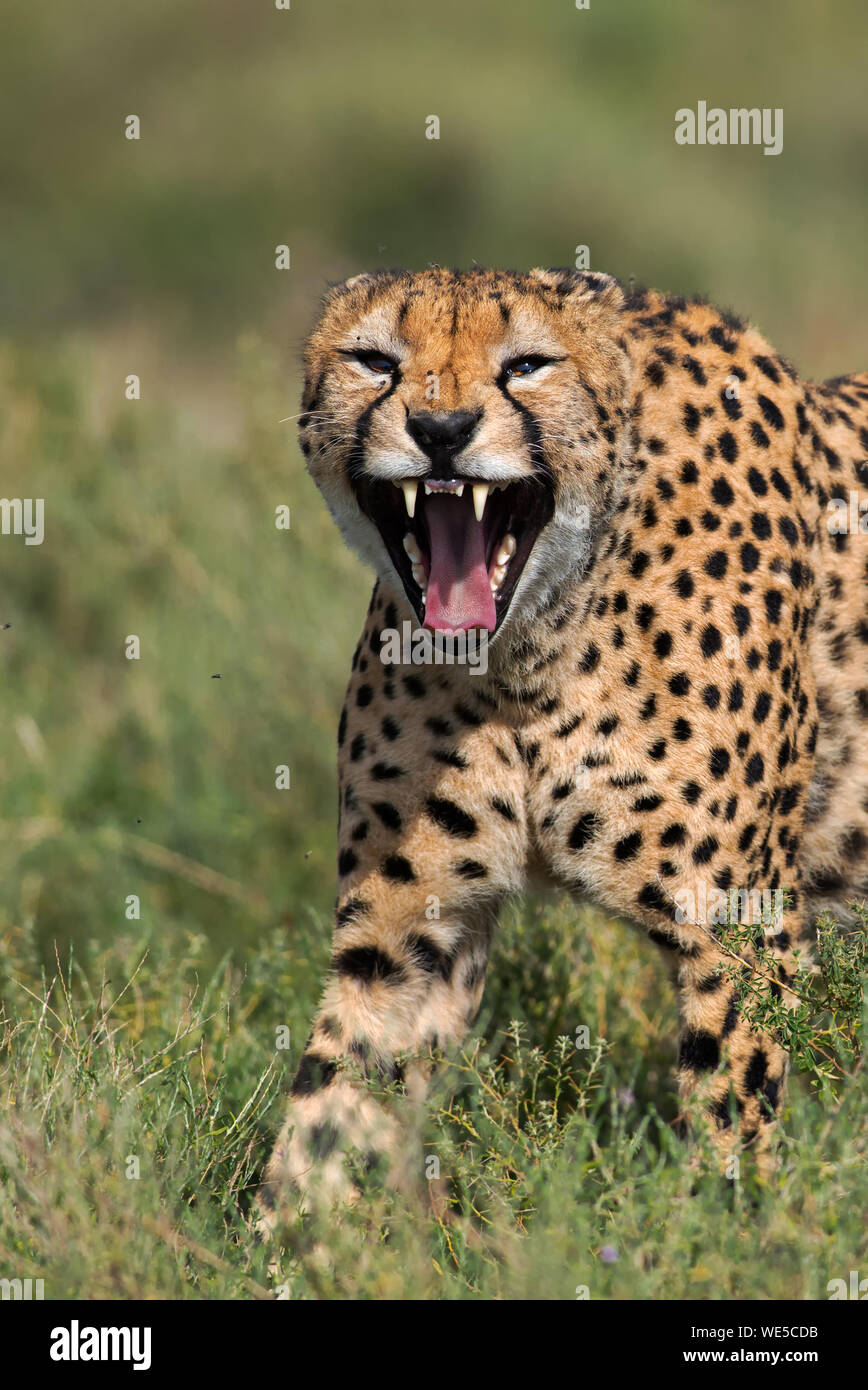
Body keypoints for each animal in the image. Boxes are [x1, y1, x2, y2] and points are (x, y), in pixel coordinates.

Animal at [260, 266, 868, 1227]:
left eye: (528, 365)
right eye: (375, 360)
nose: (441, 431)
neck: (528, 662)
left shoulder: (739, 922)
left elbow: (731, 1114)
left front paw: (729, 1236)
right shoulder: (408, 922)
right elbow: (337, 1097)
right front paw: (282, 1241)